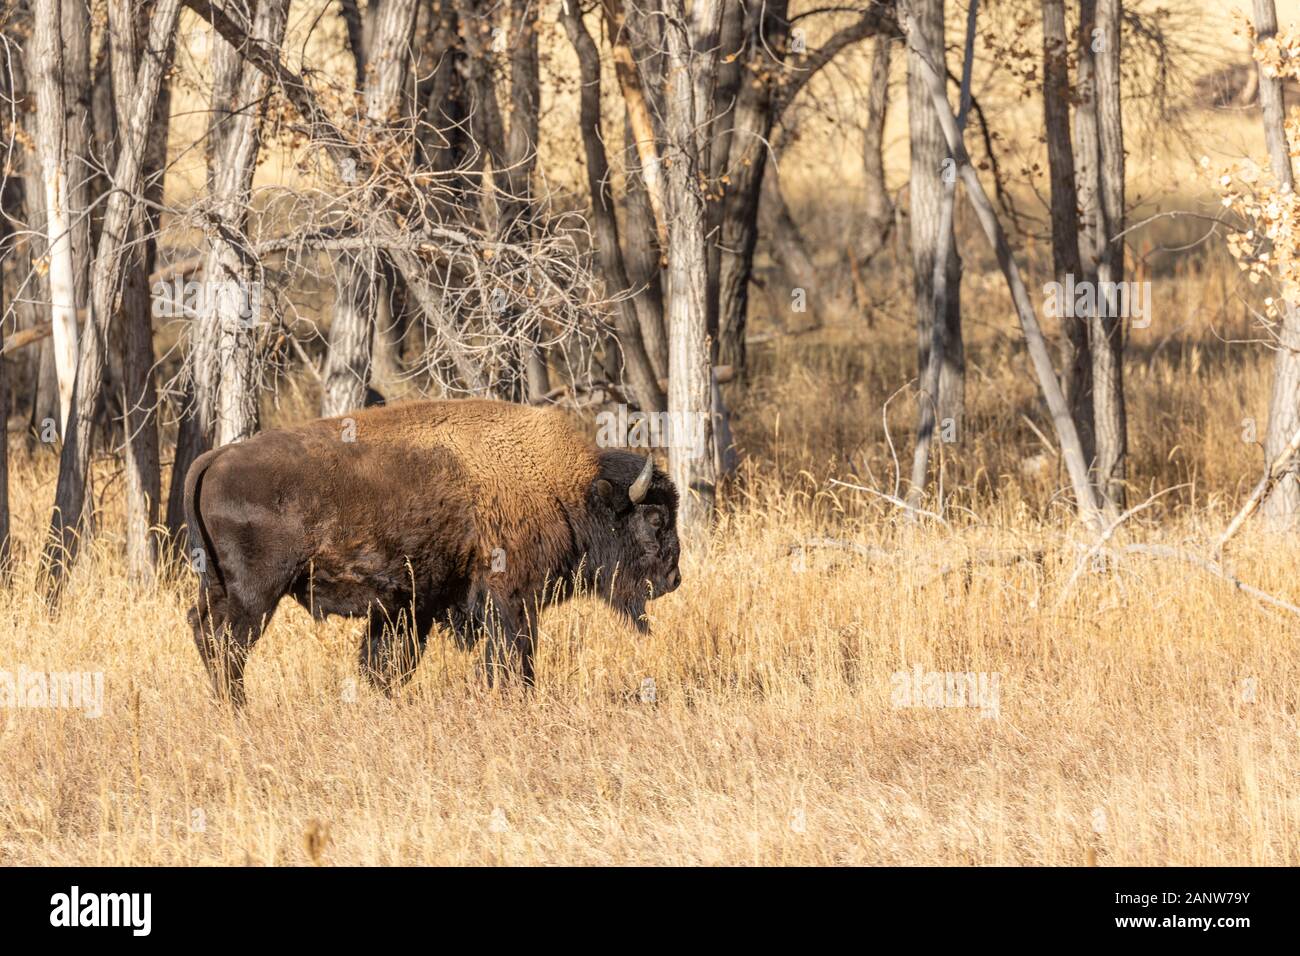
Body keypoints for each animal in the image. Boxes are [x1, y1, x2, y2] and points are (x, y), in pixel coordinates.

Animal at [184, 399, 681, 704]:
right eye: (656, 519)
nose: (674, 579)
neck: (564, 488)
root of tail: (215, 458)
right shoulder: (512, 598)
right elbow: (515, 656)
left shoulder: (412, 606)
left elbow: (387, 663)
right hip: (255, 595)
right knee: (228, 645)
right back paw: (239, 710)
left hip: (219, 585)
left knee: (206, 632)